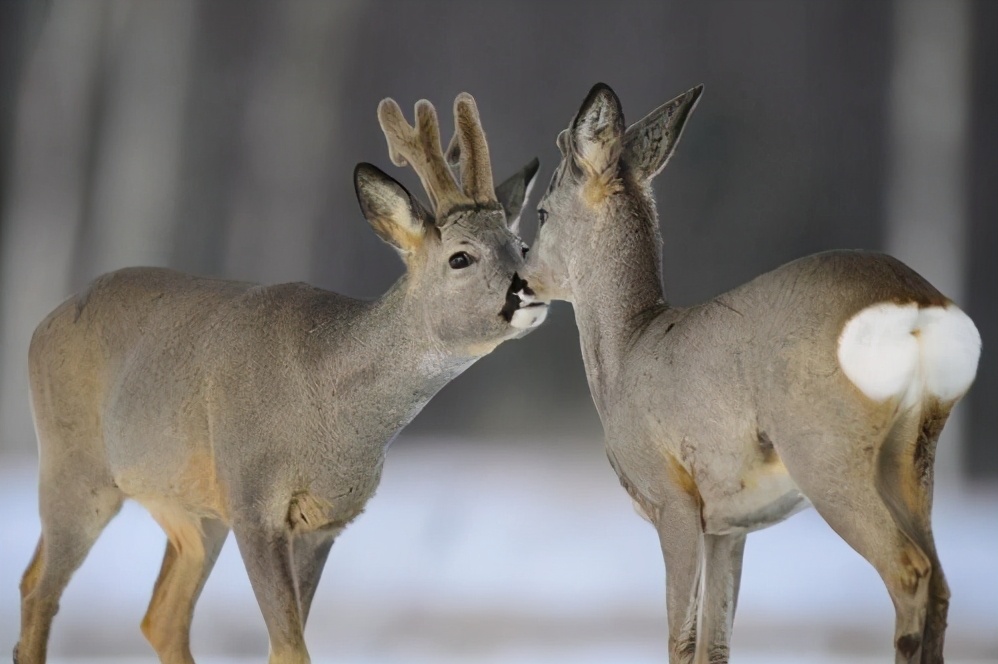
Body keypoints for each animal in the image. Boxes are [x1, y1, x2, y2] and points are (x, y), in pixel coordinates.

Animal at [15, 91, 548, 664]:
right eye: (460, 257)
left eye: (521, 245)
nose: (529, 290)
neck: (327, 400)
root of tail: (41, 326)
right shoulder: (253, 501)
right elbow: (291, 647)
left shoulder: (324, 523)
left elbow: (284, 645)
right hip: (76, 468)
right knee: (41, 592)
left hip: (188, 508)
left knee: (156, 615)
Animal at [523, 82, 981, 664]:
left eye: (541, 213)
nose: (520, 279)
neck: (631, 347)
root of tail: (918, 306)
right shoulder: (727, 524)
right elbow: (716, 644)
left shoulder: (674, 499)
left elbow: (681, 639)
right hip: (914, 453)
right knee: (941, 583)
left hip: (824, 451)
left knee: (909, 571)